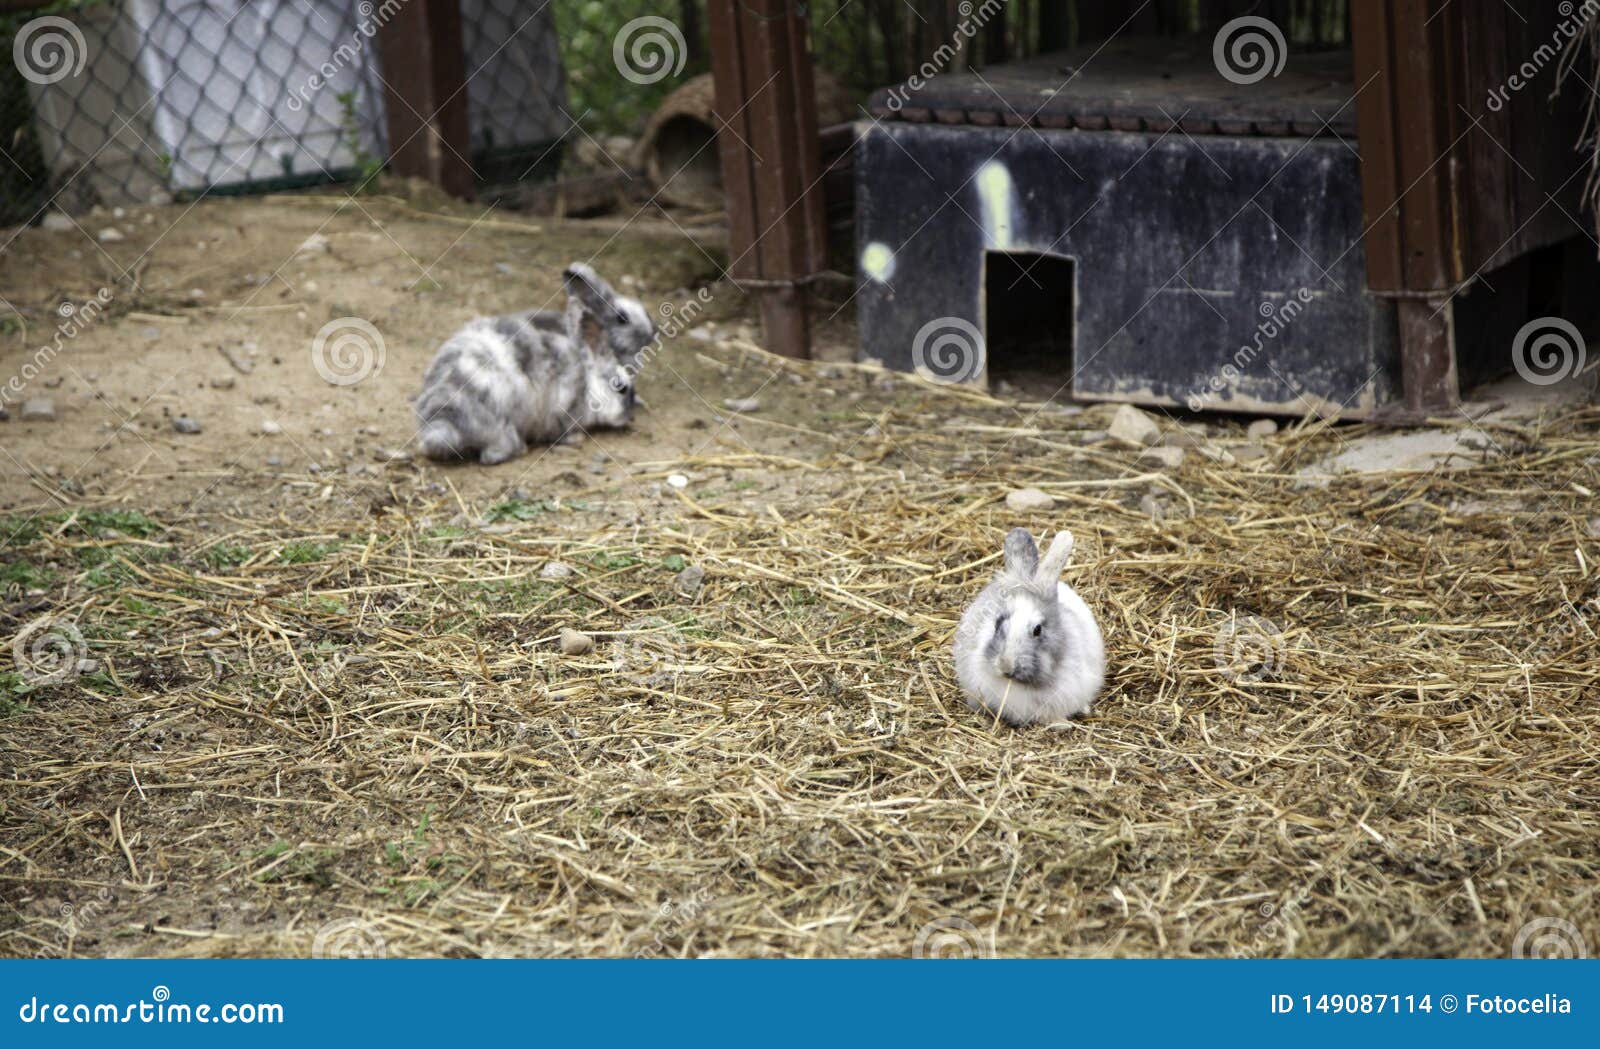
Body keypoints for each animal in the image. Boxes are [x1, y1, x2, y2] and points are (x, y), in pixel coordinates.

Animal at [415, 263, 656, 465]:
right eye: (620, 387)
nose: (630, 417)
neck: (589, 386)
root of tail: (441, 422)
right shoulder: (564, 411)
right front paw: (576, 439)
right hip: (500, 424)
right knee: (495, 452)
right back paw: (521, 449)